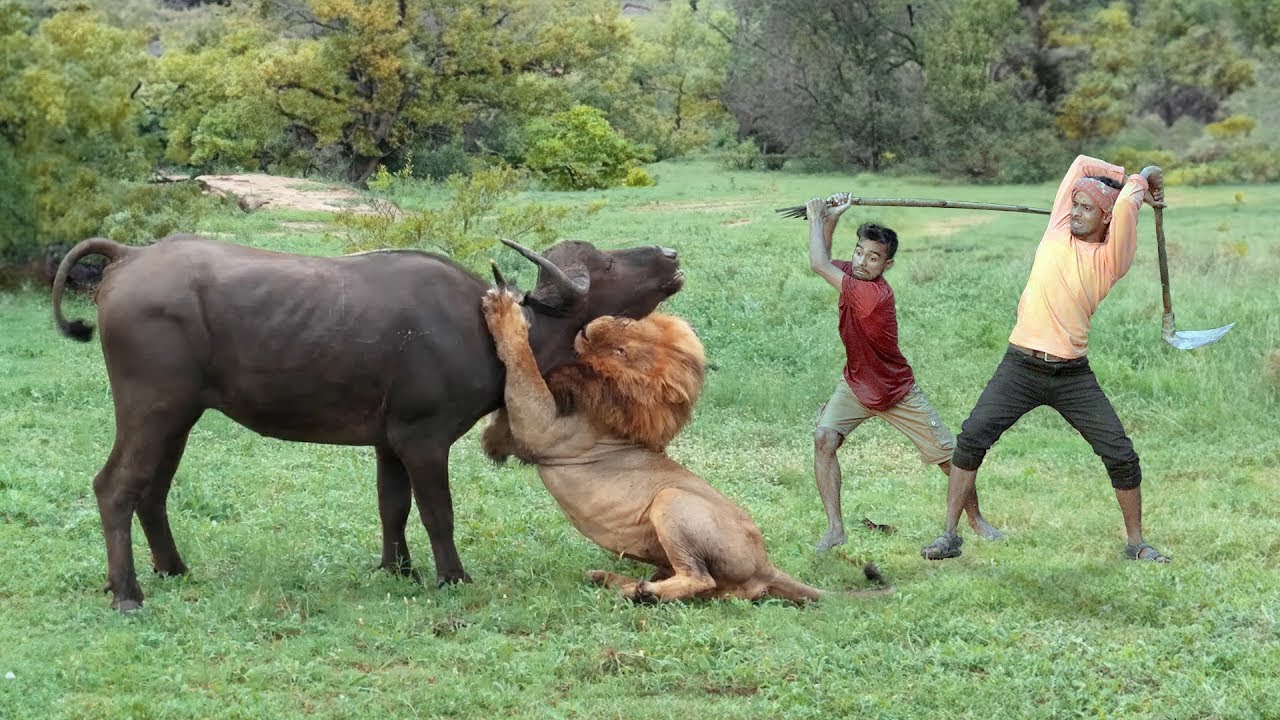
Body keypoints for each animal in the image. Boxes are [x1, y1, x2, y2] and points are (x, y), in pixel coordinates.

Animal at [51, 234, 684, 611]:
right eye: (606, 263)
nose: (671, 256)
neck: (486, 330)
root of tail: (130, 254)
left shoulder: (389, 443)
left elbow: (392, 506)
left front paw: (397, 569)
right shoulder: (424, 439)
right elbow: (436, 513)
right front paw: (451, 577)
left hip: (178, 418)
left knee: (152, 492)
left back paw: (174, 570)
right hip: (151, 409)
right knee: (115, 487)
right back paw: (127, 592)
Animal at [480, 289, 888, 603]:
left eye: (622, 351)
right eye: (625, 323)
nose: (587, 327)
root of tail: (767, 564)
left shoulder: (544, 431)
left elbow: (524, 367)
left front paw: (504, 311)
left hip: (671, 499)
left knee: (698, 578)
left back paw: (640, 592)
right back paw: (613, 581)